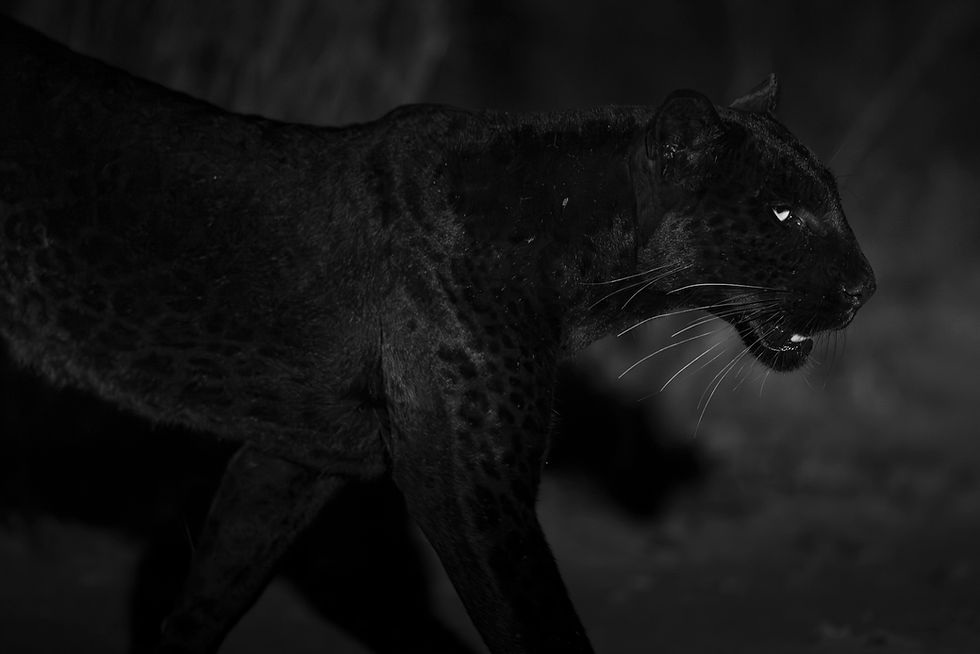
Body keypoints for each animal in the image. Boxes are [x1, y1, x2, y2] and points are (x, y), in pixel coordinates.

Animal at [0, 16, 874, 654]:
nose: (867, 286)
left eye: (829, 200)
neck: (572, 243)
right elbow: (540, 626)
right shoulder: (469, 477)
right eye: (782, 213)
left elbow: (212, 588)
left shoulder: (292, 457)